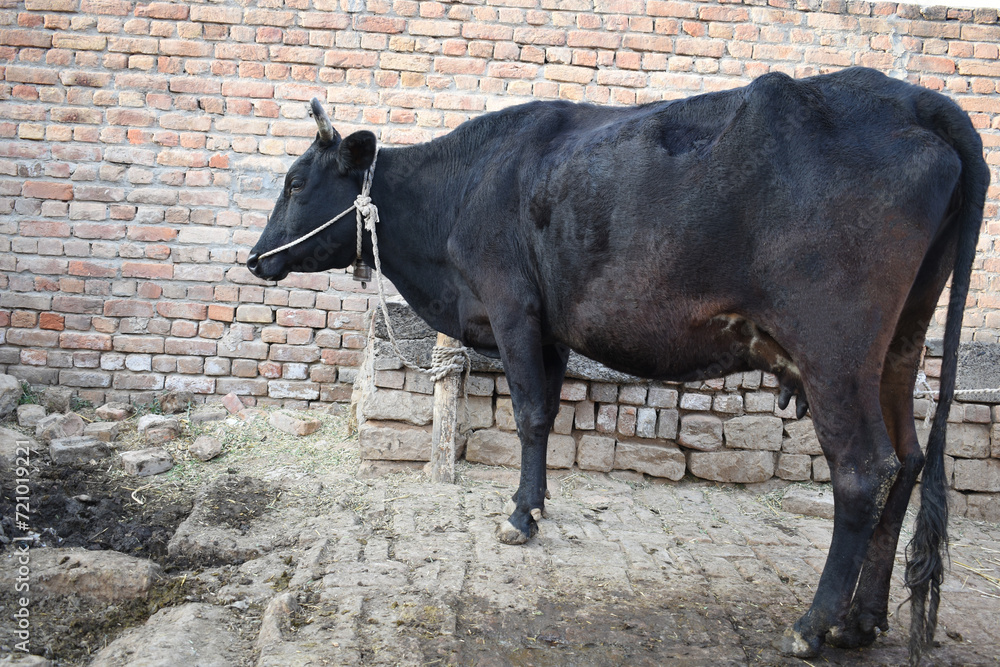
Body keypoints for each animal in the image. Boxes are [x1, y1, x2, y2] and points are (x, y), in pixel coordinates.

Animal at [246, 67, 988, 664]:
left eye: (295, 182)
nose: (255, 258)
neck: (460, 194)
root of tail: (914, 99)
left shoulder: (512, 308)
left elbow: (529, 413)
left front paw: (519, 517)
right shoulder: (549, 327)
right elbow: (545, 415)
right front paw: (536, 502)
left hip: (834, 351)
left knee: (863, 470)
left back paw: (812, 625)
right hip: (899, 345)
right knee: (909, 460)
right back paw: (862, 620)